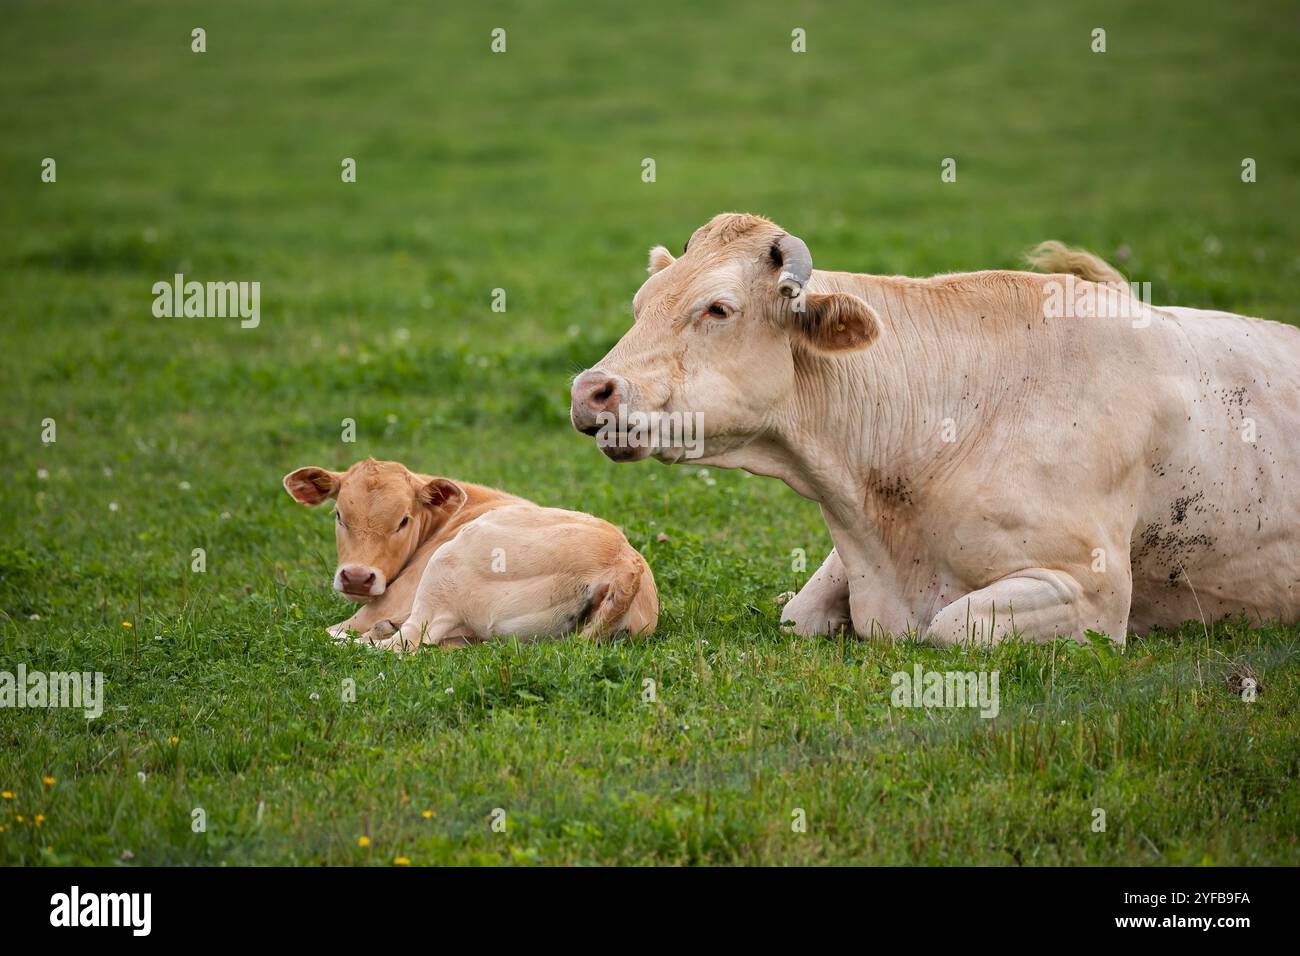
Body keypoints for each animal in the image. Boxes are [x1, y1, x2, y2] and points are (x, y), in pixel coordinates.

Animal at [283, 458, 658, 650]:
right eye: (339, 515)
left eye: (403, 520)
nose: (357, 578)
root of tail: (626, 561)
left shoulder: (391, 599)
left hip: (444, 572)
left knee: (400, 644)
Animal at [570, 213, 1300, 645]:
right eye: (641, 304)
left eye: (718, 309)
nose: (590, 391)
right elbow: (798, 614)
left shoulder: (1093, 593)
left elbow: (950, 626)